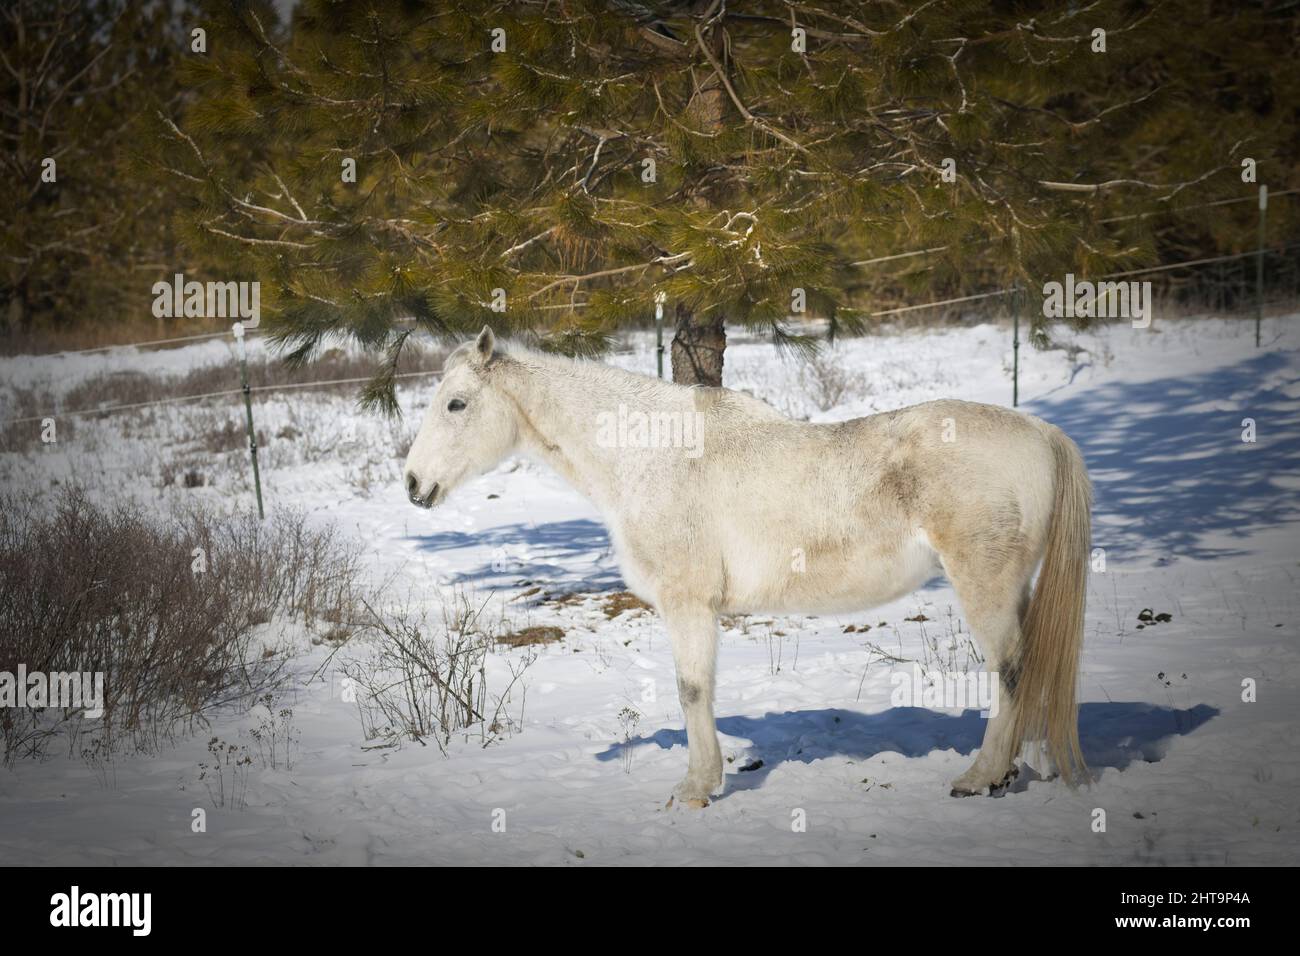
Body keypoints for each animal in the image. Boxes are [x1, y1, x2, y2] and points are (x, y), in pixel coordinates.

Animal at [404, 327, 1092, 807]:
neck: (652, 454)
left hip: (984, 585)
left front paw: (695, 788)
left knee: (1011, 669)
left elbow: (691, 690)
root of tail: (1041, 434)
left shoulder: (688, 605)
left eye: (457, 405)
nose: (413, 484)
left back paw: (981, 777)